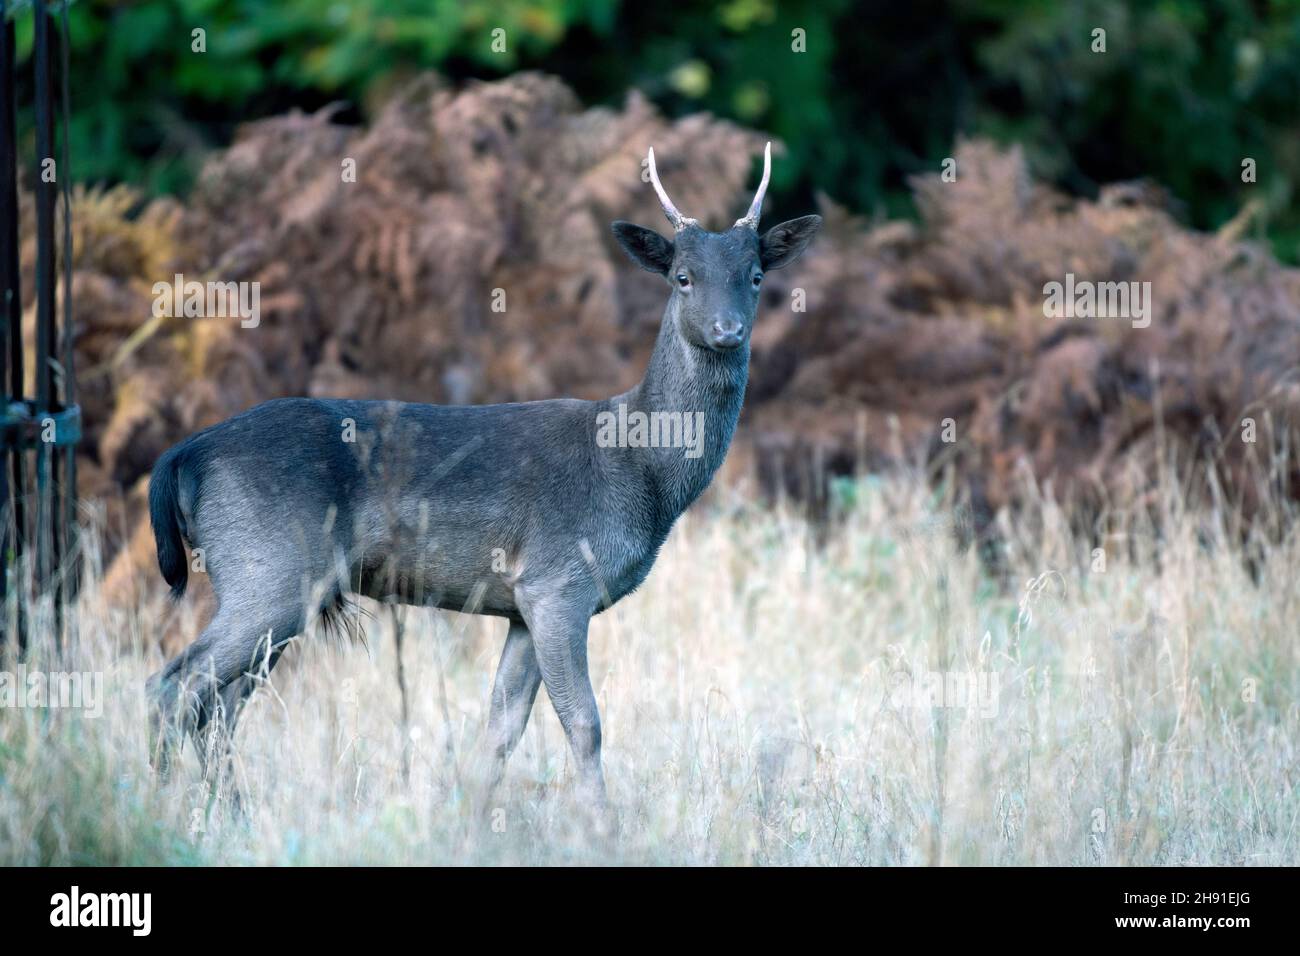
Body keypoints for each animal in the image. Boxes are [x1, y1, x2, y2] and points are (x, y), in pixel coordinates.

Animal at [145, 143, 821, 809]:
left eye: (756, 276)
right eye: (683, 277)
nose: (728, 329)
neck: (642, 476)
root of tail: (184, 455)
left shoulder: (522, 602)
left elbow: (502, 727)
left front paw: (469, 813)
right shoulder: (559, 579)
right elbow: (584, 722)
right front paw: (600, 821)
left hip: (278, 583)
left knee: (221, 704)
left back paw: (229, 809)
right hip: (267, 564)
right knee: (175, 685)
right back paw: (160, 804)